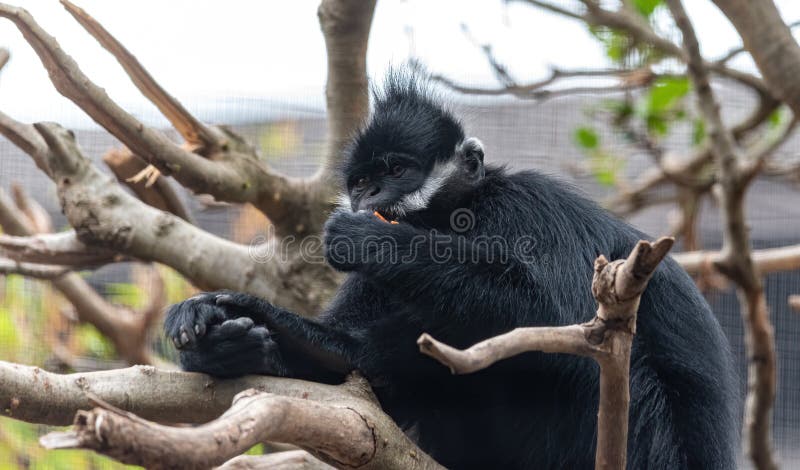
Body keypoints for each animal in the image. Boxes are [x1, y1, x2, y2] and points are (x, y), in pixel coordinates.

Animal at [165, 72, 738, 469]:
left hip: (643, 435)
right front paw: (230, 334)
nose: (372, 198)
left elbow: (557, 318)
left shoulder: (528, 206)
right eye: (362, 182)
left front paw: (373, 243)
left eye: (398, 171)